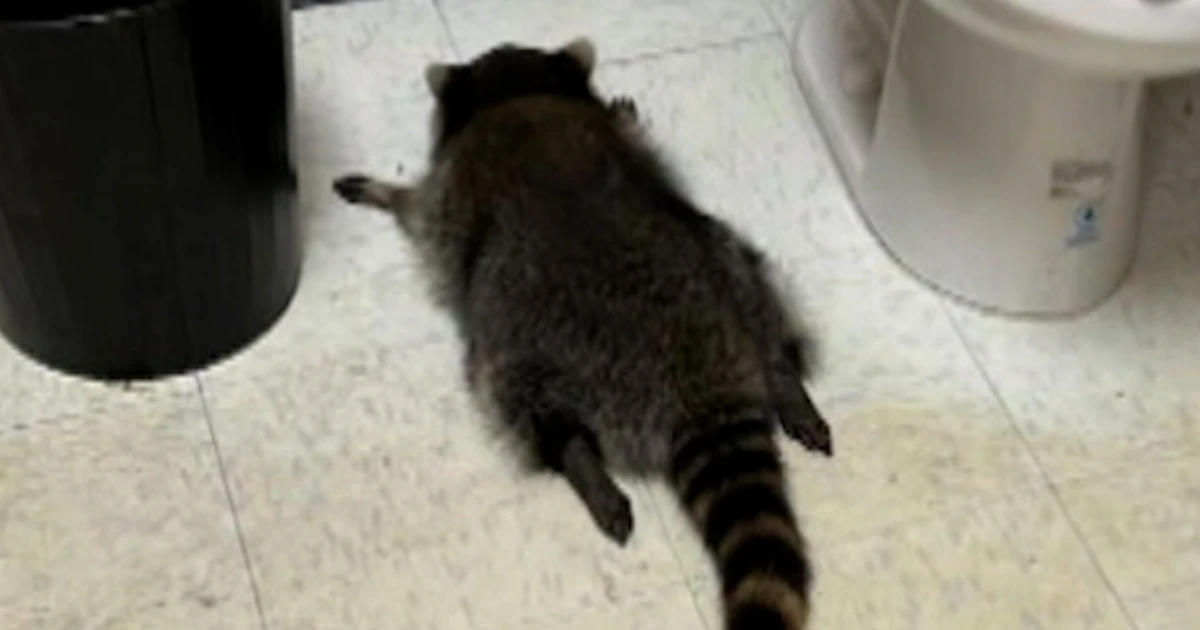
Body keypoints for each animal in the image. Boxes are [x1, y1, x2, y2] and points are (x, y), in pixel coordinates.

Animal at [333, 39, 832, 630]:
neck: (517, 90)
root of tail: (701, 380)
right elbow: (630, 132)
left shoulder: (450, 190)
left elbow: (419, 210)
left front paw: (387, 191)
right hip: (723, 261)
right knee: (750, 278)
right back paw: (783, 377)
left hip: (524, 337)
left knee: (515, 395)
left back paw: (578, 459)